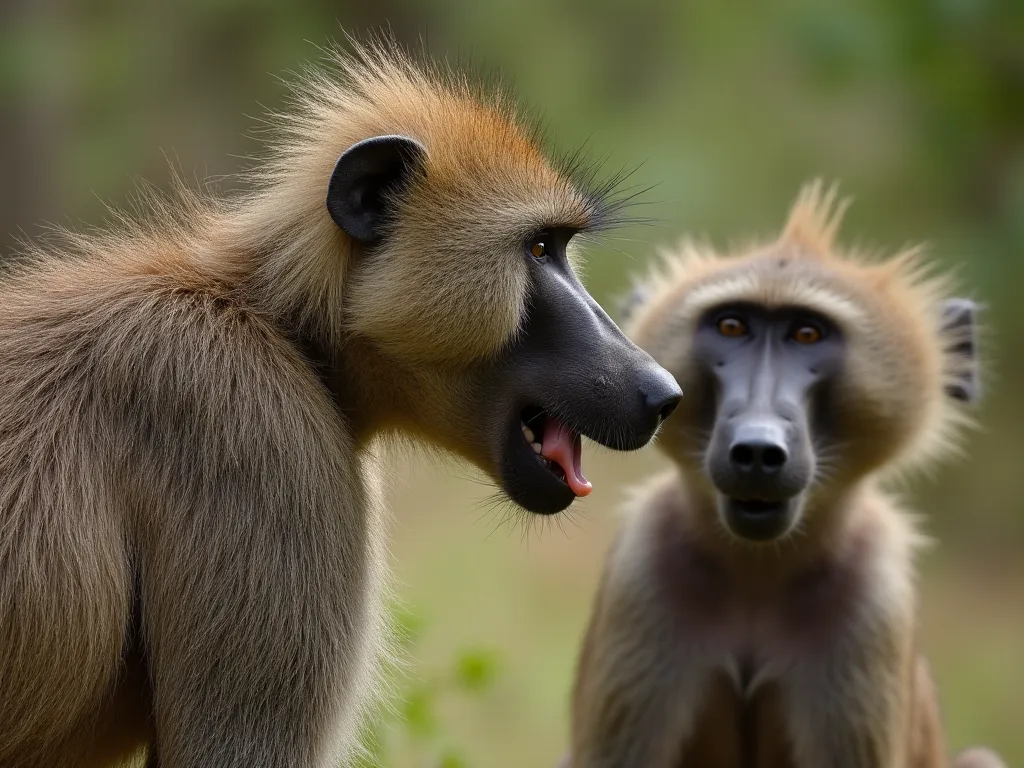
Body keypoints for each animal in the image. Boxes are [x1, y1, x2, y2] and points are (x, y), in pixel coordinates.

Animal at [562, 181, 1007, 768]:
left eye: (807, 334)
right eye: (731, 326)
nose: (756, 449)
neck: (759, 569)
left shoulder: (871, 600)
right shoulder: (645, 567)